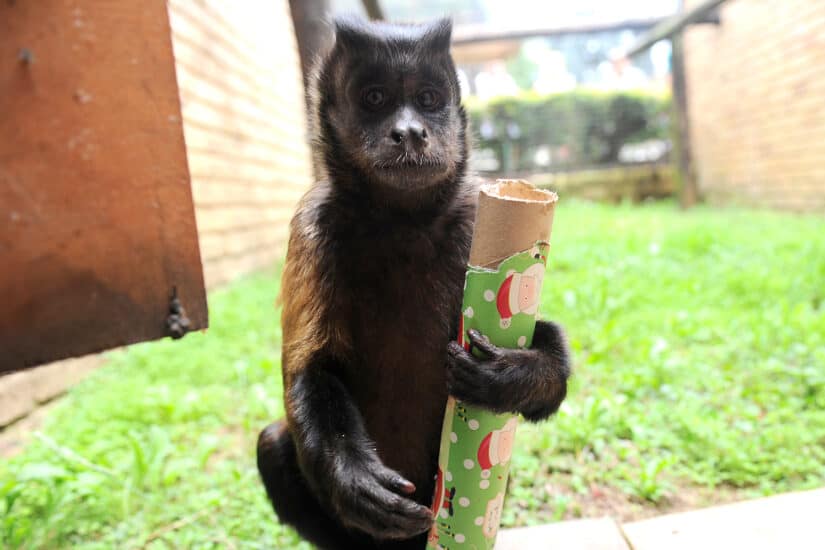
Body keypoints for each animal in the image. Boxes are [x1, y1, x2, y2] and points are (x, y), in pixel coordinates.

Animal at [256, 16, 571, 550]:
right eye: (375, 98)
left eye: (427, 99)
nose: (408, 132)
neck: (401, 222)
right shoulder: (313, 227)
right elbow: (308, 370)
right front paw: (353, 476)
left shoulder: (472, 214)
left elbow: (549, 383)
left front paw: (514, 374)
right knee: (272, 443)